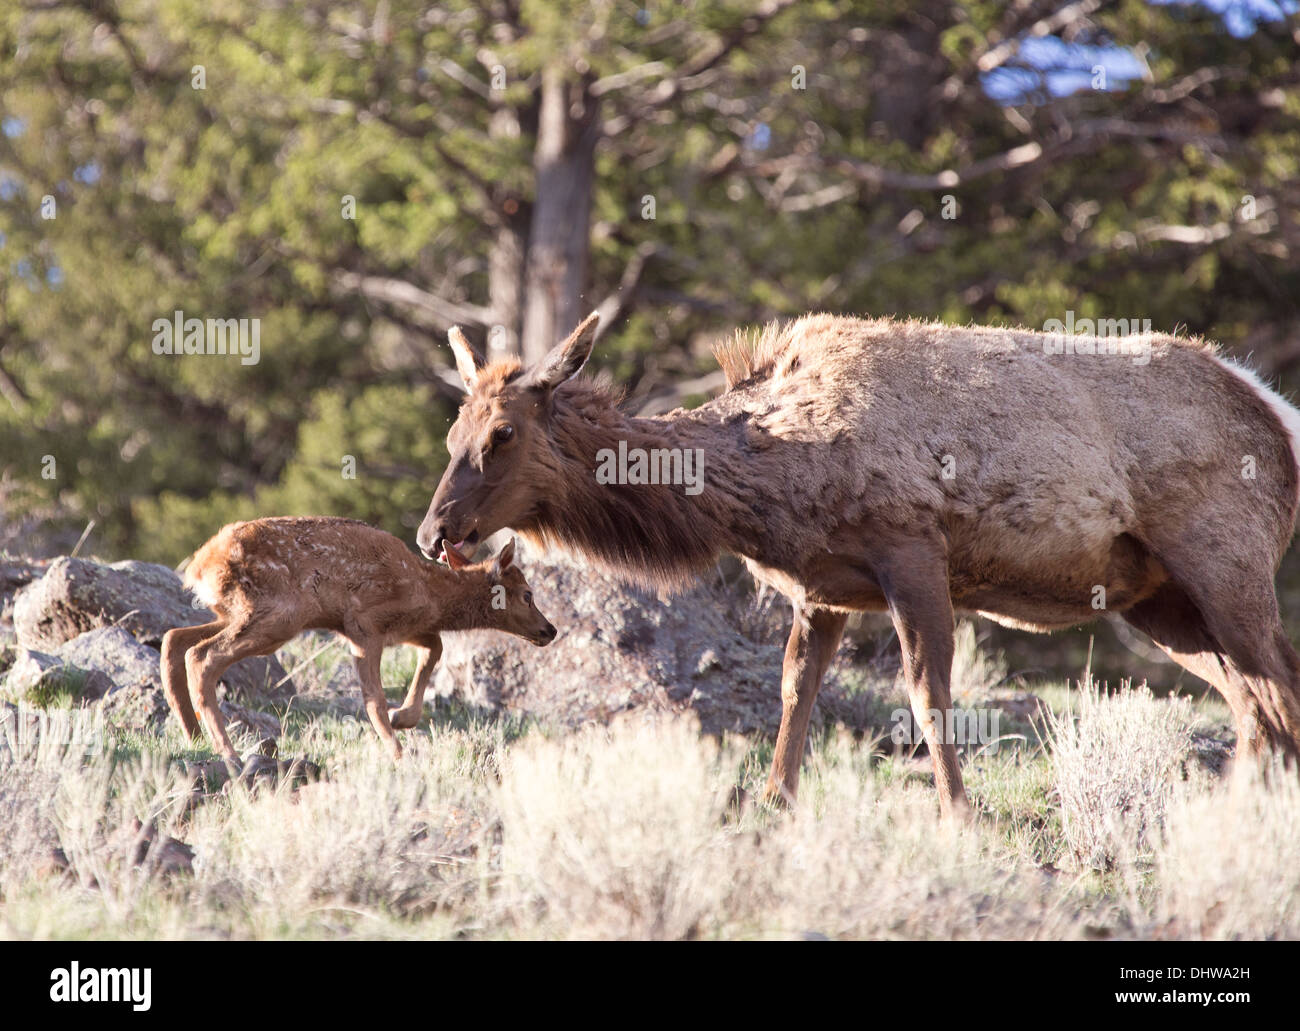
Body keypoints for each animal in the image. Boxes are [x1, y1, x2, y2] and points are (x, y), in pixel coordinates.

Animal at [161, 516, 557, 764]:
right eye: (527, 594)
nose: (549, 630)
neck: (430, 592)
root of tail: (199, 567)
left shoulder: (404, 627)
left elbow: (436, 646)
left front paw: (404, 717)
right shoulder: (364, 622)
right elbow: (374, 701)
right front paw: (397, 750)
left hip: (237, 613)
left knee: (174, 638)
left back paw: (194, 735)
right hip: (280, 613)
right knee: (203, 655)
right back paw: (226, 751)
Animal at [418, 311, 1300, 819]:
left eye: (501, 434)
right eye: (453, 429)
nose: (433, 531)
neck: (770, 485)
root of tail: (1279, 414)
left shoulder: (913, 550)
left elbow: (928, 692)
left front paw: (958, 811)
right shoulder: (823, 588)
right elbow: (795, 688)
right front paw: (773, 797)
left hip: (1228, 559)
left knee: (1275, 684)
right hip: (1158, 599)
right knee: (1252, 698)